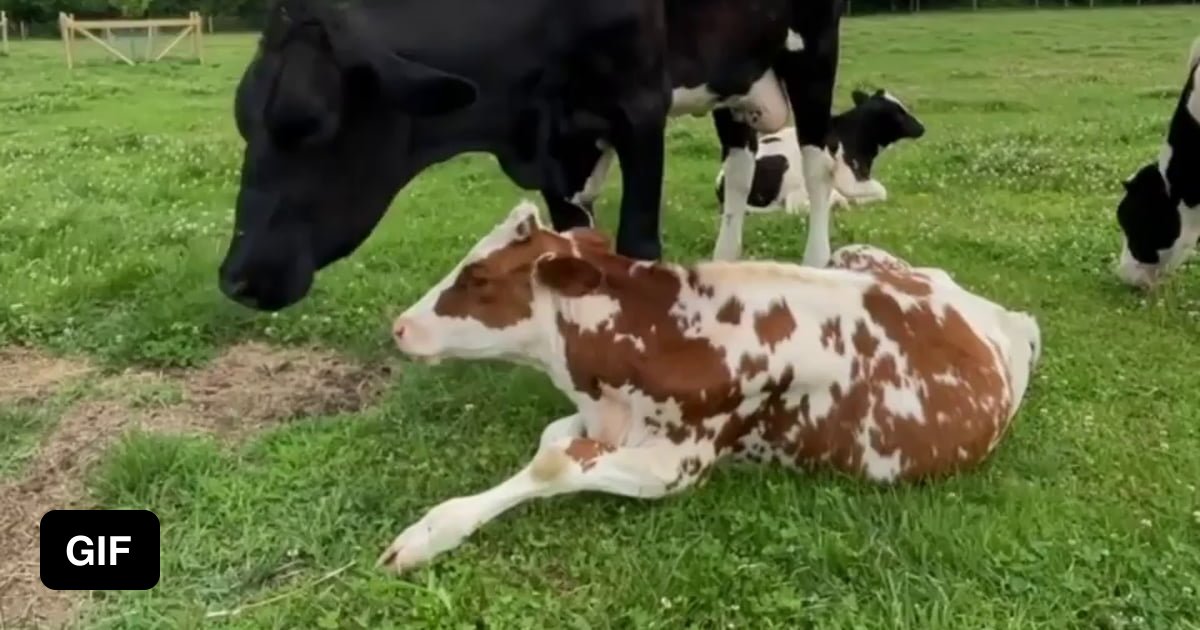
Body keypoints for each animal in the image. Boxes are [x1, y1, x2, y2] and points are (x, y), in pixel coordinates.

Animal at [217, 0, 848, 312]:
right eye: (243, 120)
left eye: (308, 124)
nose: (235, 278)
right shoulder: (559, 149)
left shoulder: (641, 106)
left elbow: (638, 247)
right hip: (732, 73)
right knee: (740, 169)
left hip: (814, 45)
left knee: (816, 161)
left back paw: (818, 262)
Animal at [379, 200, 1042, 574]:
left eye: (479, 278)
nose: (400, 326)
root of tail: (997, 310)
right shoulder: (600, 418)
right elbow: (552, 445)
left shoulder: (677, 465)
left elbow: (556, 465)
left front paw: (427, 536)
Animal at [713, 88, 926, 215]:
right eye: (899, 115)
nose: (922, 127)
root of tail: (721, 184)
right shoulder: (848, 179)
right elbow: (881, 190)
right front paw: (855, 199)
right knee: (794, 206)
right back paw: (836, 201)